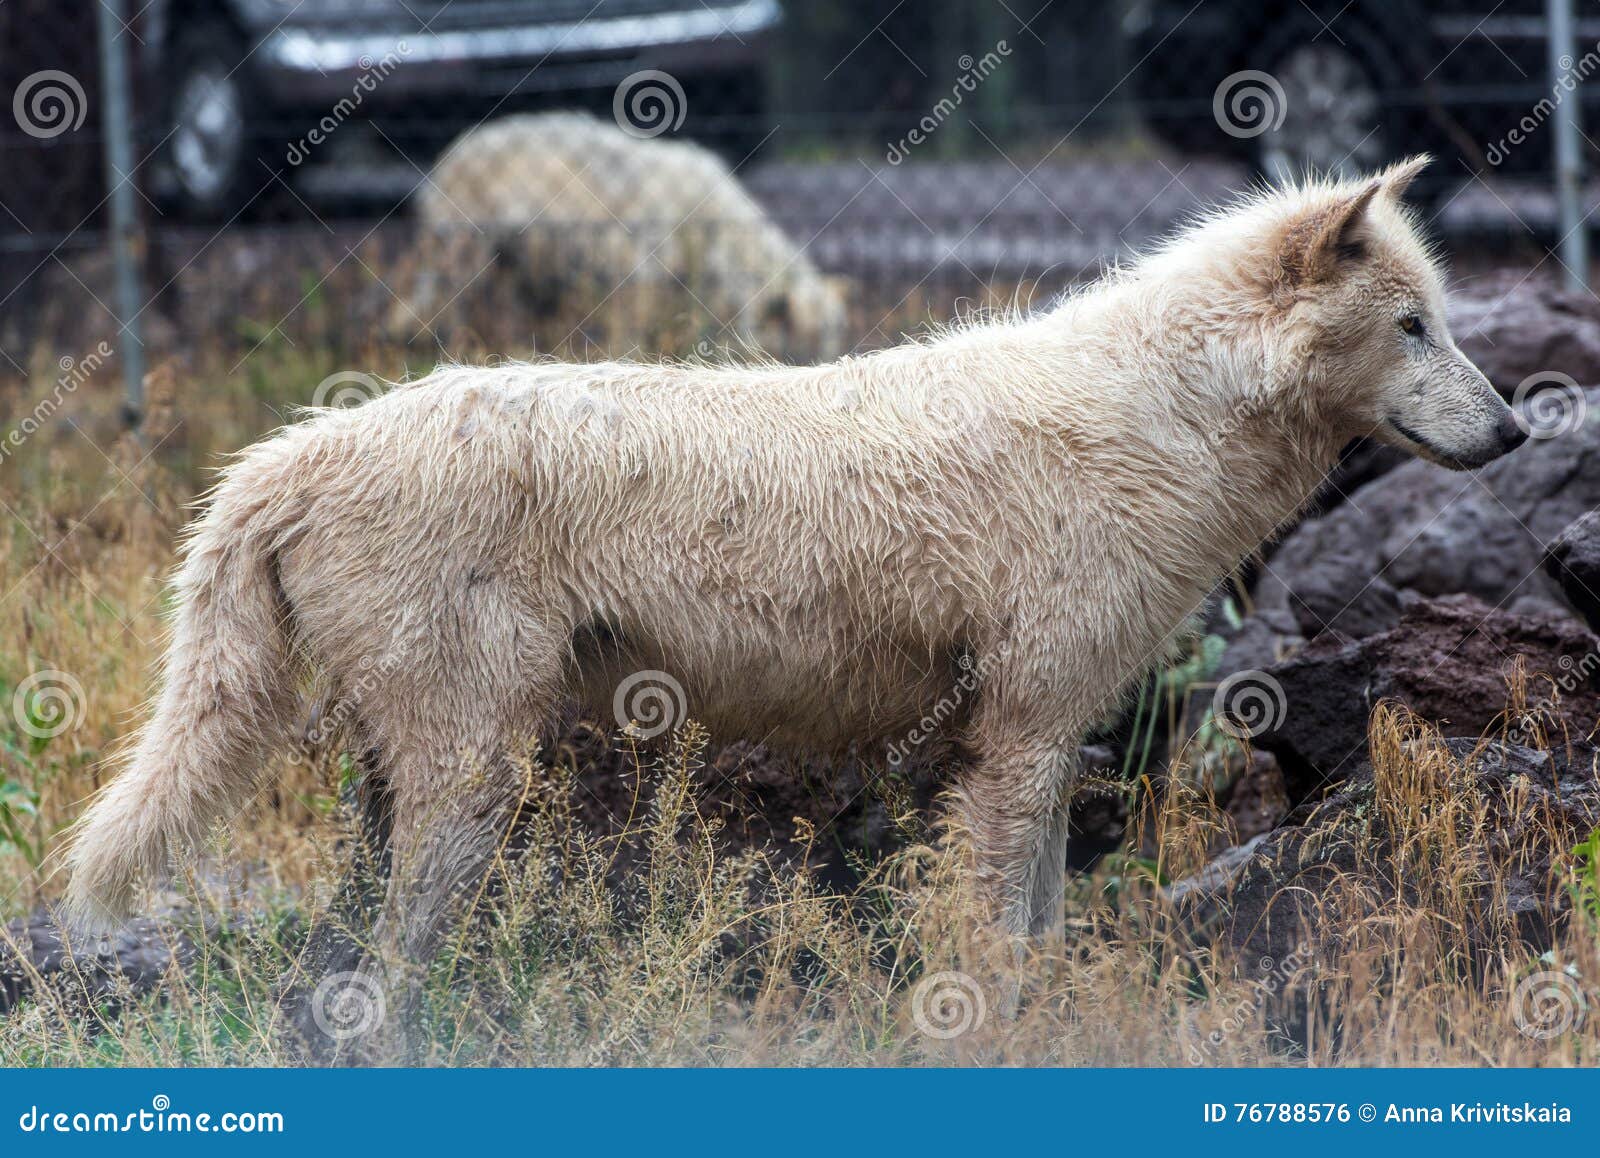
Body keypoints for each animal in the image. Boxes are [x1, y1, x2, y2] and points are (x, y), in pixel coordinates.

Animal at [66, 157, 1523, 975]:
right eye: (1413, 326)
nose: (1516, 432)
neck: (1159, 415)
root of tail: (287, 451)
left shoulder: (1042, 739)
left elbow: (1046, 924)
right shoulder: (1025, 737)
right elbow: (1005, 937)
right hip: (475, 779)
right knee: (378, 985)